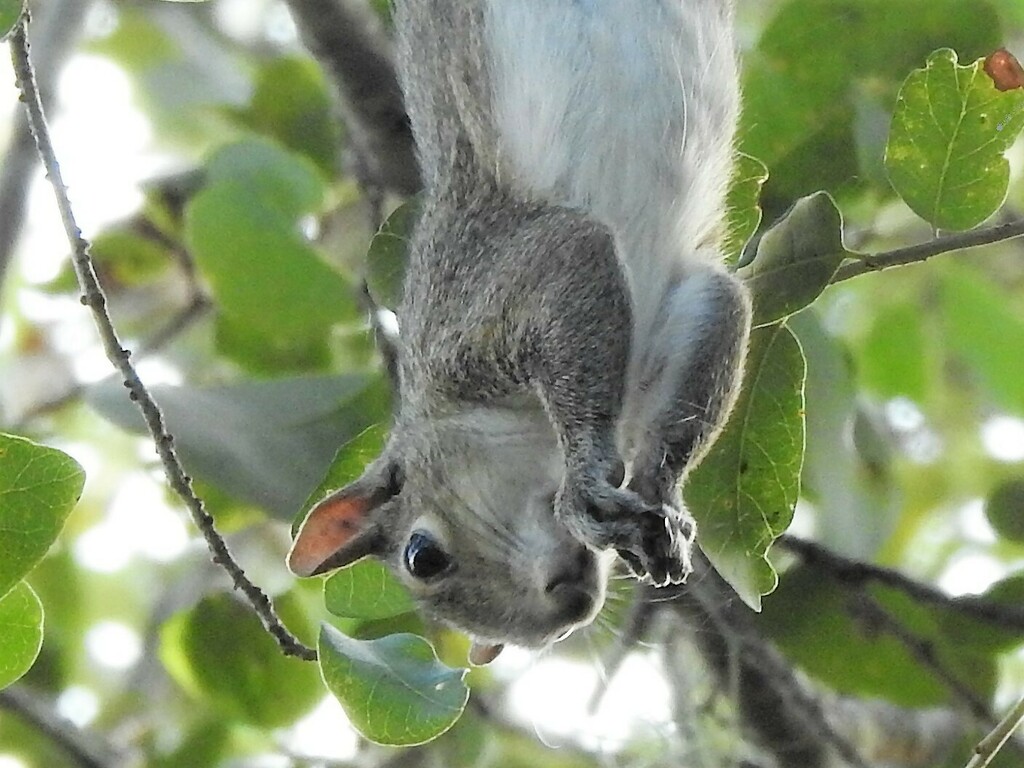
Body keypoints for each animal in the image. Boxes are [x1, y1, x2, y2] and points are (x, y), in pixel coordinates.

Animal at [288, 0, 750, 663]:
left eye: (423, 556)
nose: (567, 608)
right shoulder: (684, 307)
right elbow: (702, 357)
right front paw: (661, 497)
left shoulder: (505, 290)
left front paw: (584, 486)